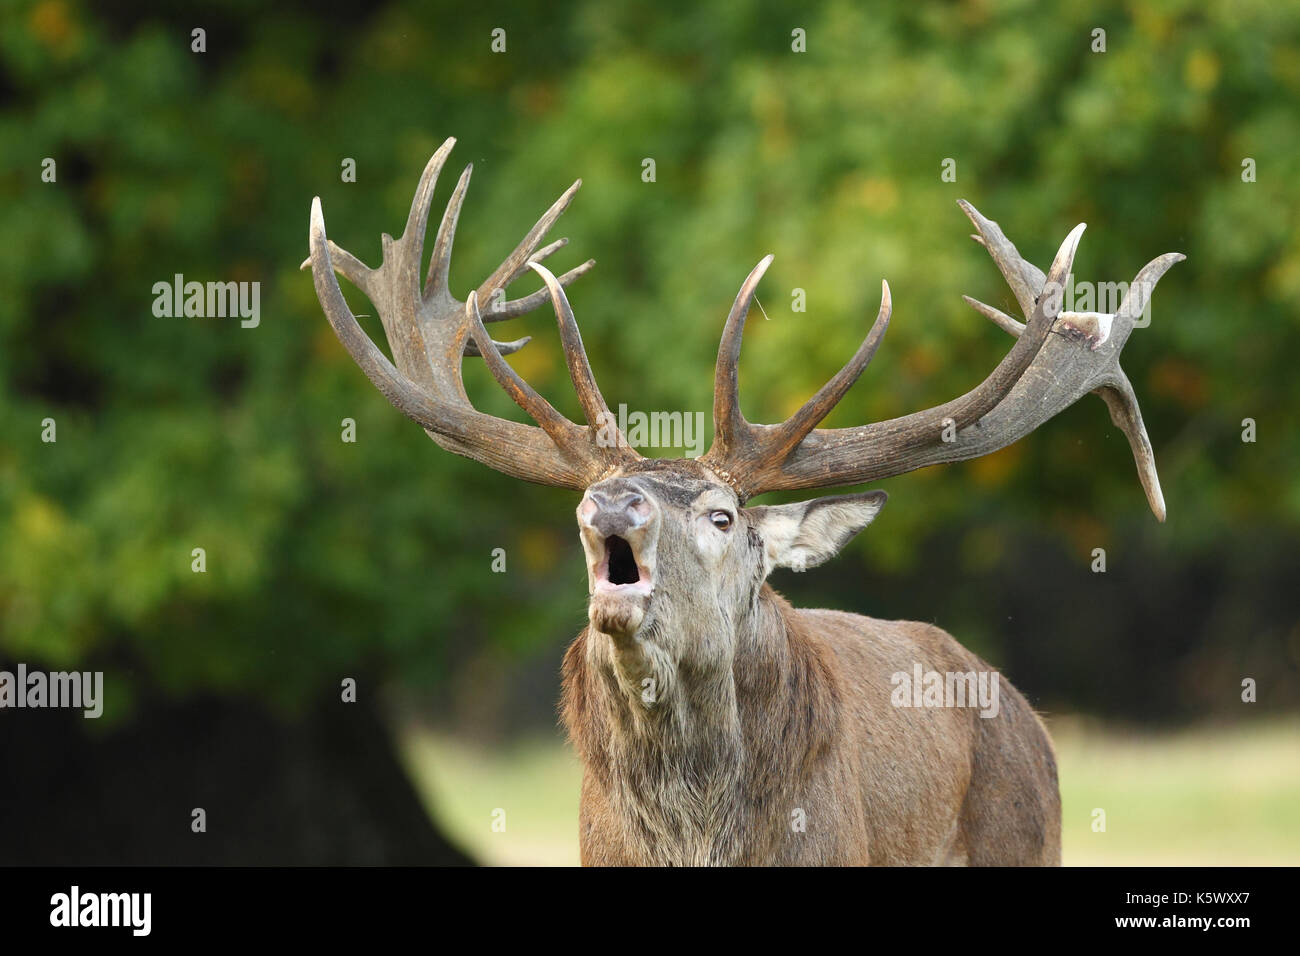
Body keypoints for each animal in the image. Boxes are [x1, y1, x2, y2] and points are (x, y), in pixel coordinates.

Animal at [304, 137, 1183, 866]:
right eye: (582, 502)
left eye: (721, 515)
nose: (612, 507)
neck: (698, 842)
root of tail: (1031, 720)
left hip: (1027, 836)